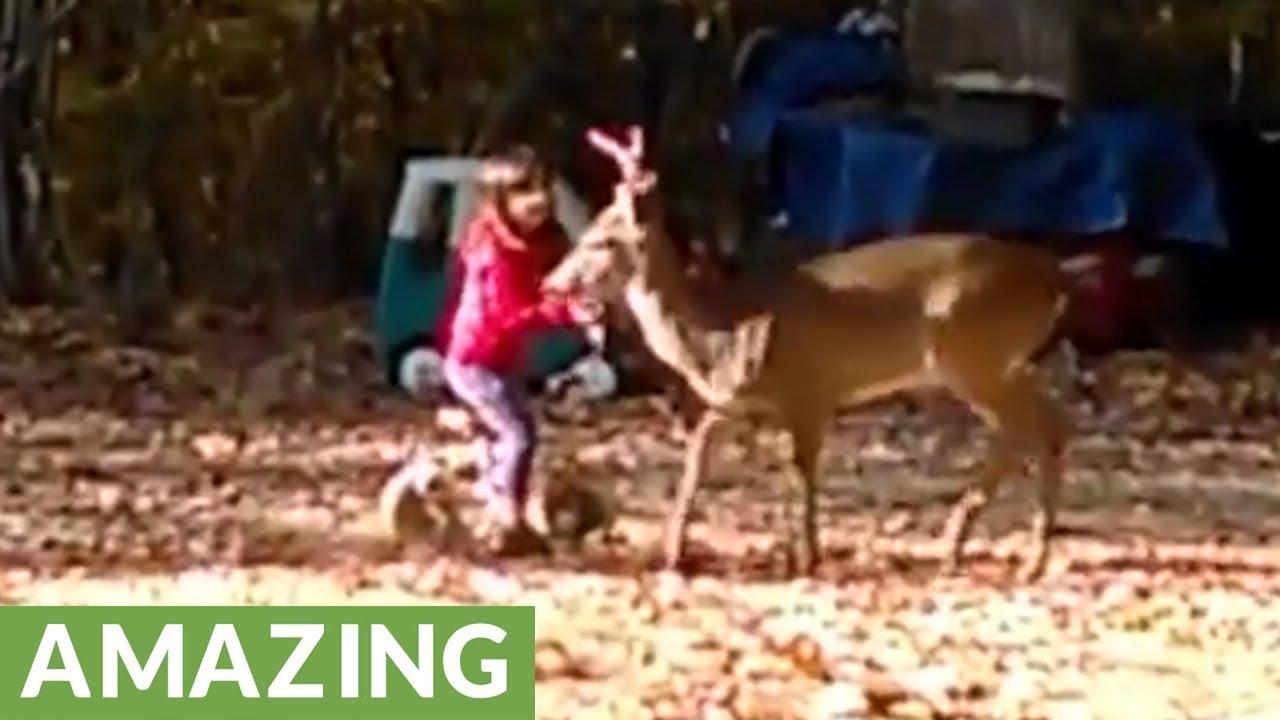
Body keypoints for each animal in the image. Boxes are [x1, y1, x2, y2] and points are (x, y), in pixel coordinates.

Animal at [545, 127, 1072, 582]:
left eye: (602, 241)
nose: (552, 283)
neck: (724, 334)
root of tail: (1052, 278)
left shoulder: (811, 391)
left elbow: (802, 473)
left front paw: (808, 558)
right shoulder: (735, 404)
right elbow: (697, 459)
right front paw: (673, 553)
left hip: (971, 354)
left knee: (1024, 428)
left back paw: (979, 548)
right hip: (1000, 360)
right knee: (1046, 425)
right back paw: (1011, 552)